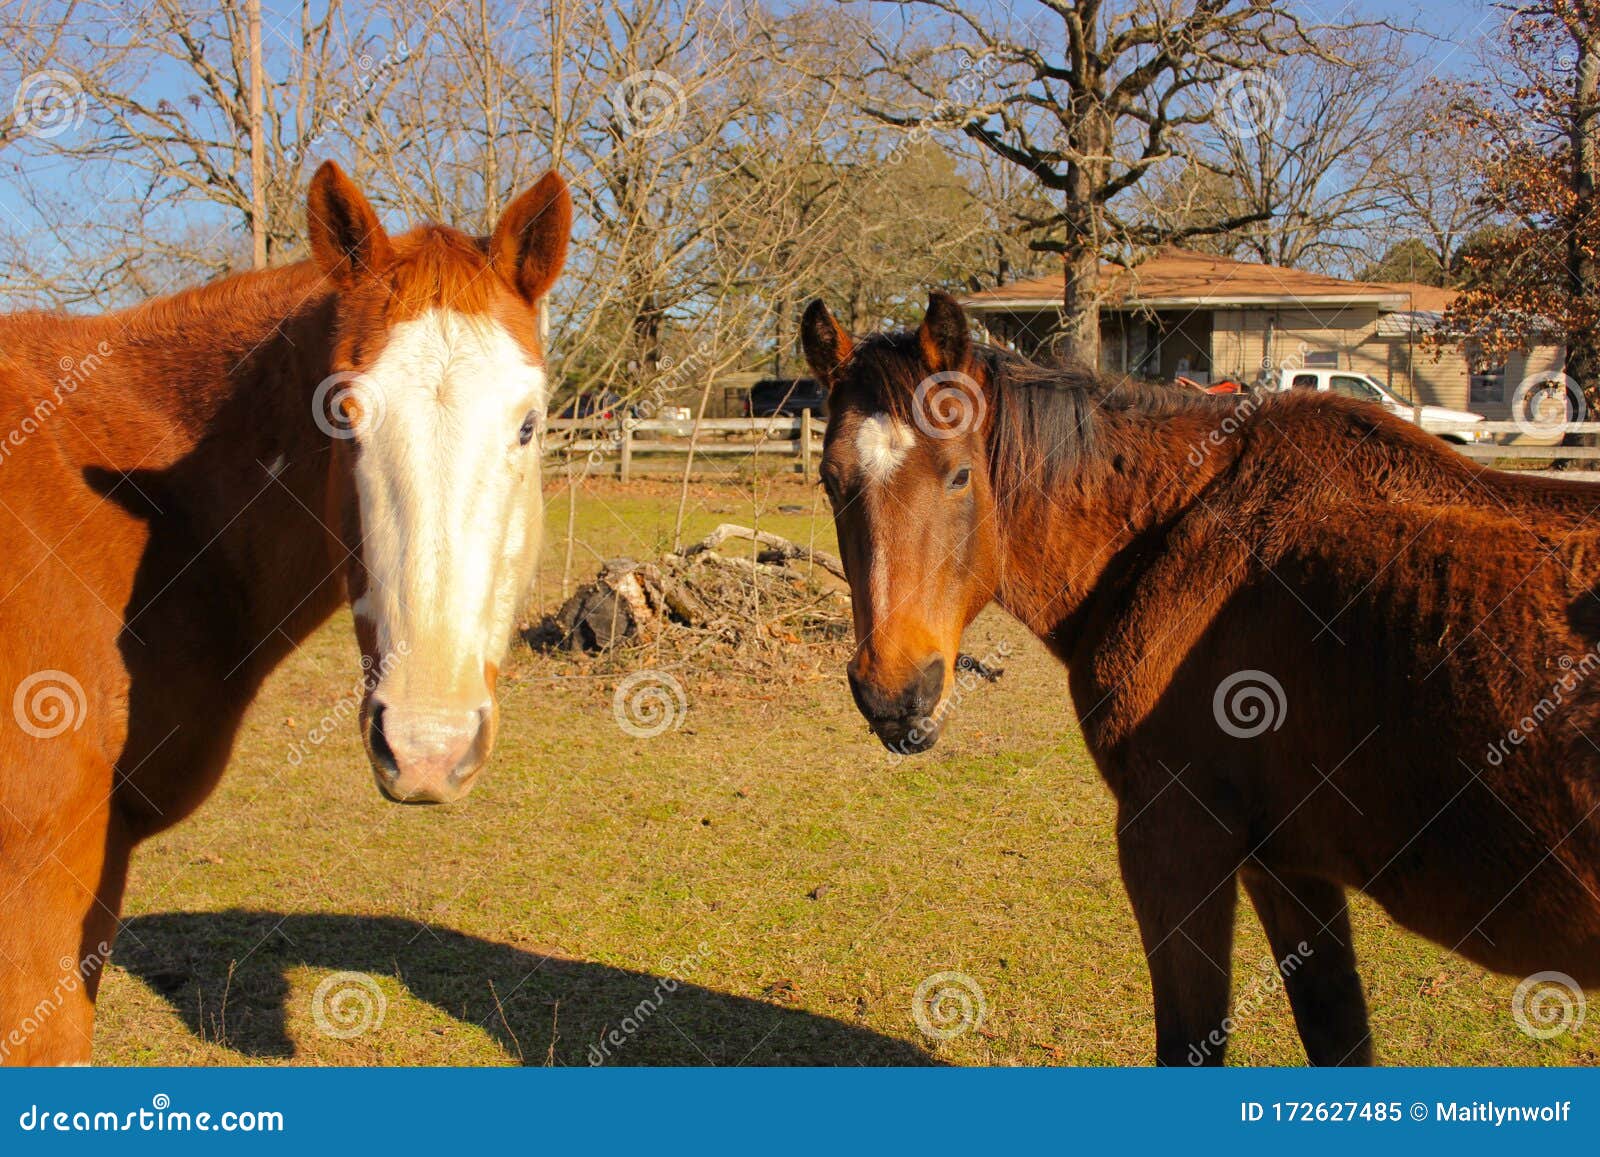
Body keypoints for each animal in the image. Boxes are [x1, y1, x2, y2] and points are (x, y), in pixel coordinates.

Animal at [800, 291, 1600, 1066]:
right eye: (831, 481)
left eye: (960, 474)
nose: (894, 693)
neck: (1178, 529)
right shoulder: (1286, 863)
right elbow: (1336, 1032)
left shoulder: (1175, 839)